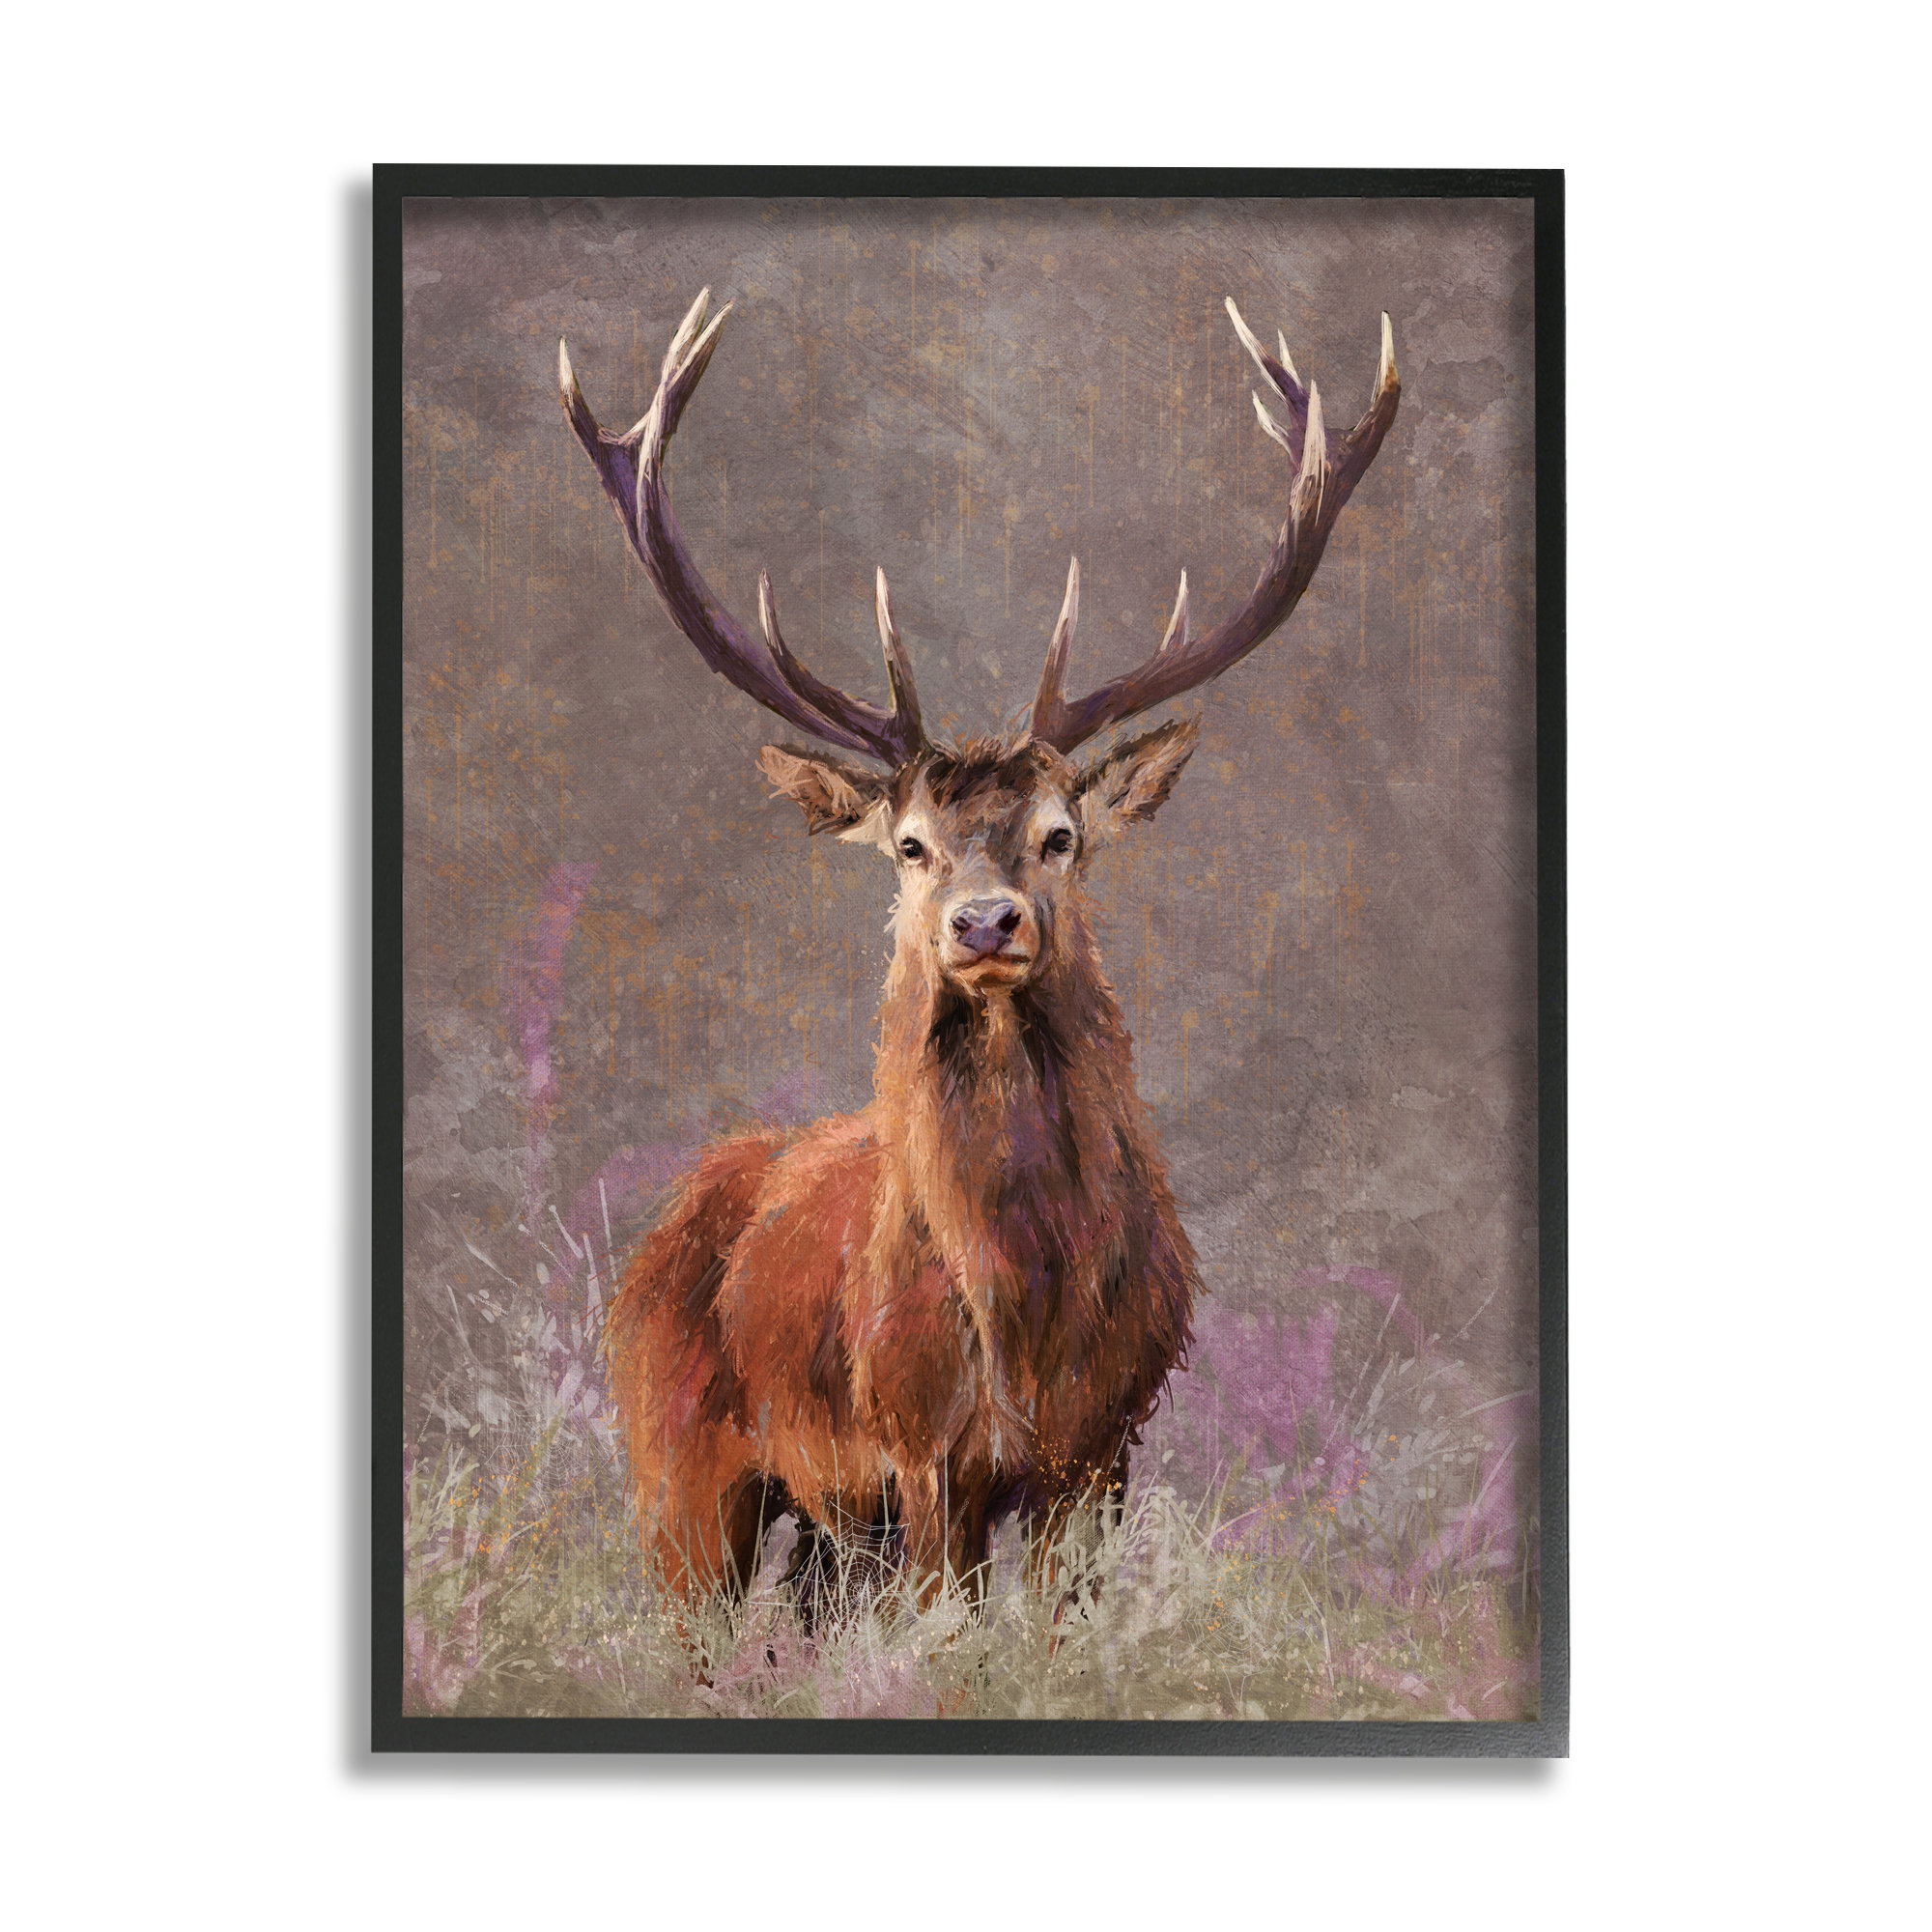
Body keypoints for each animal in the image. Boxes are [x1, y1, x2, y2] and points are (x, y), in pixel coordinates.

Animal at [557, 284, 1399, 1632]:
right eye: (908, 845)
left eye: (1061, 834)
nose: (985, 922)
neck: (1024, 1317)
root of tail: (674, 1212)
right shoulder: (915, 1445)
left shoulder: (1104, 1444)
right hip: (676, 1463)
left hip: (824, 1528)